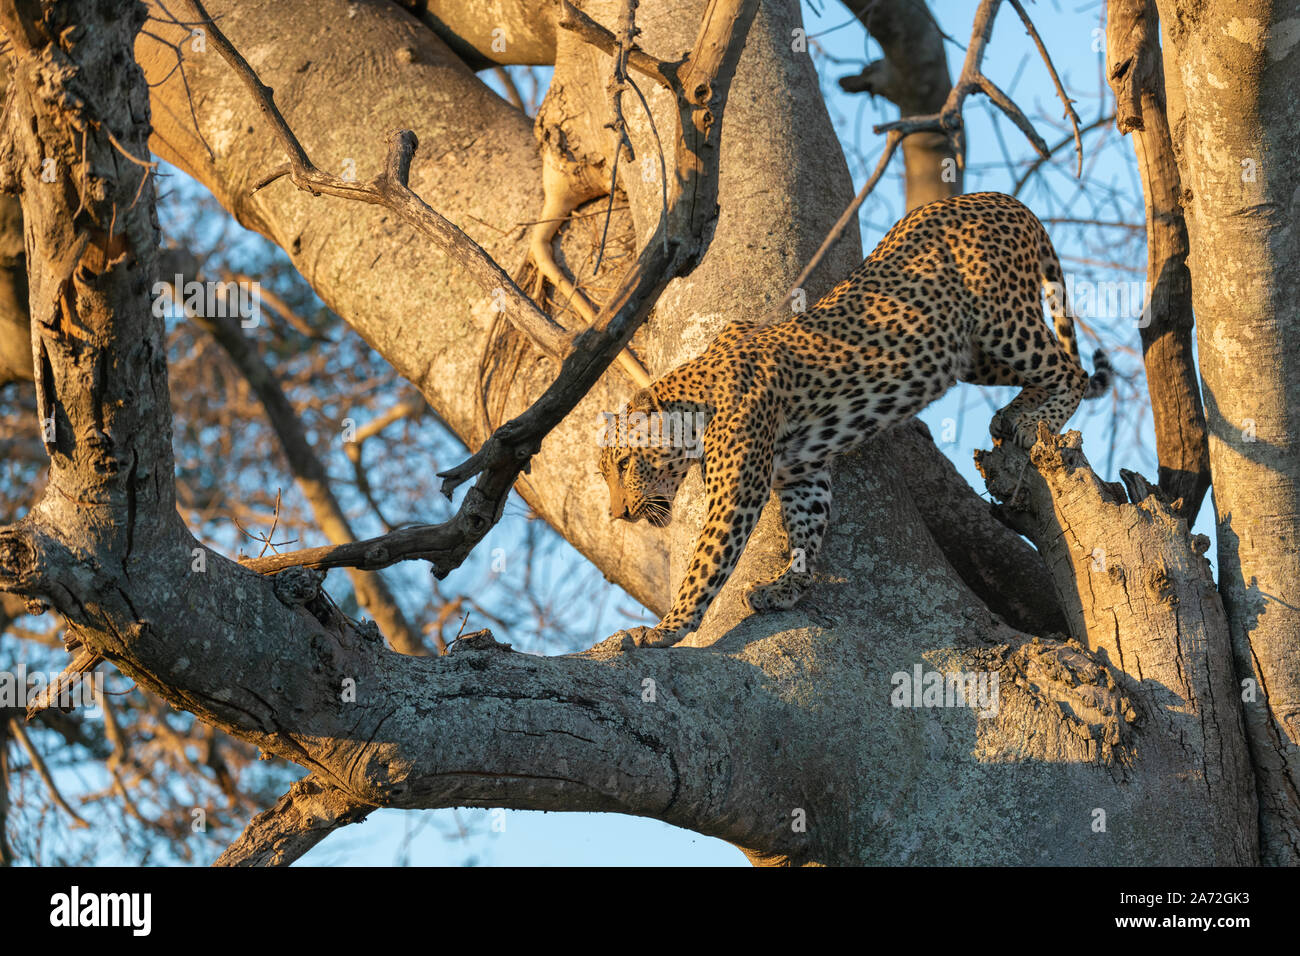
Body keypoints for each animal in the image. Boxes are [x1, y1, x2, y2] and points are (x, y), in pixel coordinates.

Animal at [598, 192, 1112, 648]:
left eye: (623, 464)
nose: (618, 514)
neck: (693, 401)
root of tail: (1002, 199)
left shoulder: (736, 496)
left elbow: (705, 564)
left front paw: (665, 629)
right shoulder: (803, 474)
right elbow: (807, 530)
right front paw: (788, 587)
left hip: (1002, 321)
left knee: (1072, 370)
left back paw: (1032, 421)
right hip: (968, 353)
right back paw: (1013, 413)